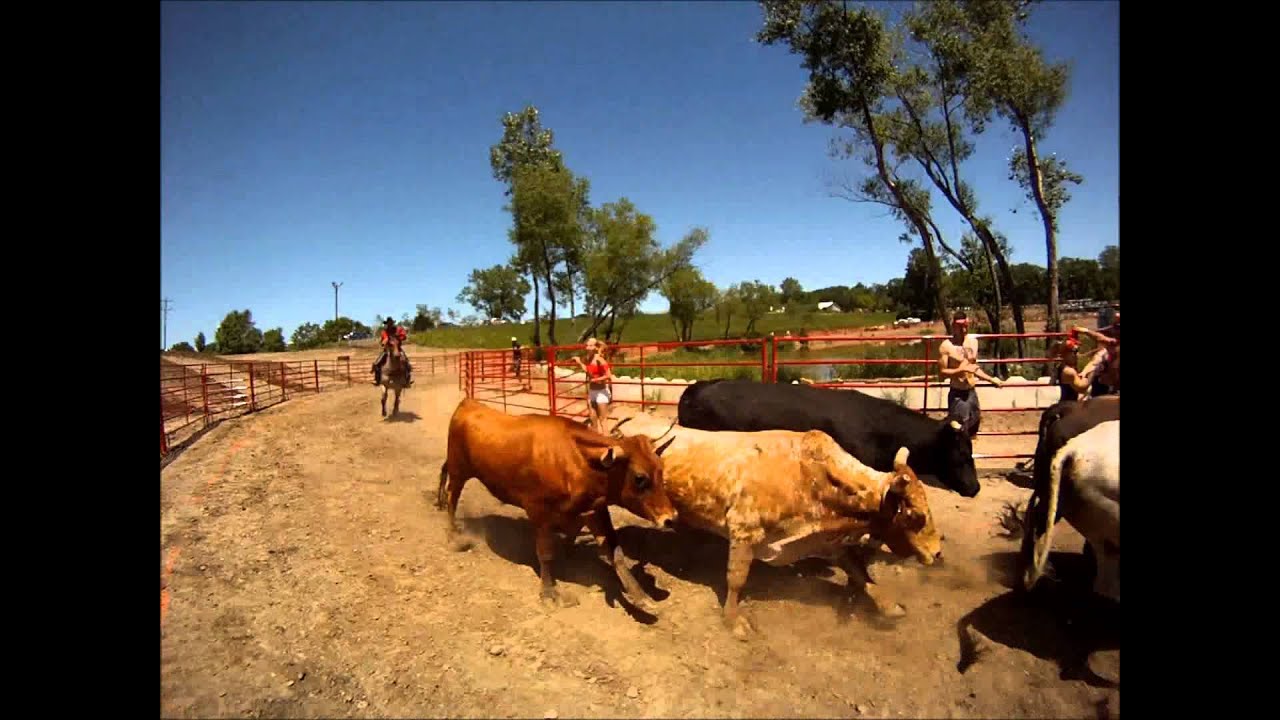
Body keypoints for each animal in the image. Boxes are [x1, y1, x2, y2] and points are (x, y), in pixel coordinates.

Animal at [436, 399, 679, 610]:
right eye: (639, 477)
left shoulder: (595, 511)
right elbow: (545, 553)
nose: (670, 517)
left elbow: (615, 552)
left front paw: (640, 595)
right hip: (458, 471)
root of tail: (468, 403)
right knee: (451, 499)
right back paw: (454, 536)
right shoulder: (539, 512)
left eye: (661, 469)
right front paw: (549, 591)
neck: (577, 461)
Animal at [610, 414, 942, 637]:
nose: (937, 552)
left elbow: (860, 572)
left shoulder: (827, 541)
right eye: (915, 516)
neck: (810, 475)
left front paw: (888, 606)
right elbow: (736, 579)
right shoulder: (743, 530)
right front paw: (734, 620)